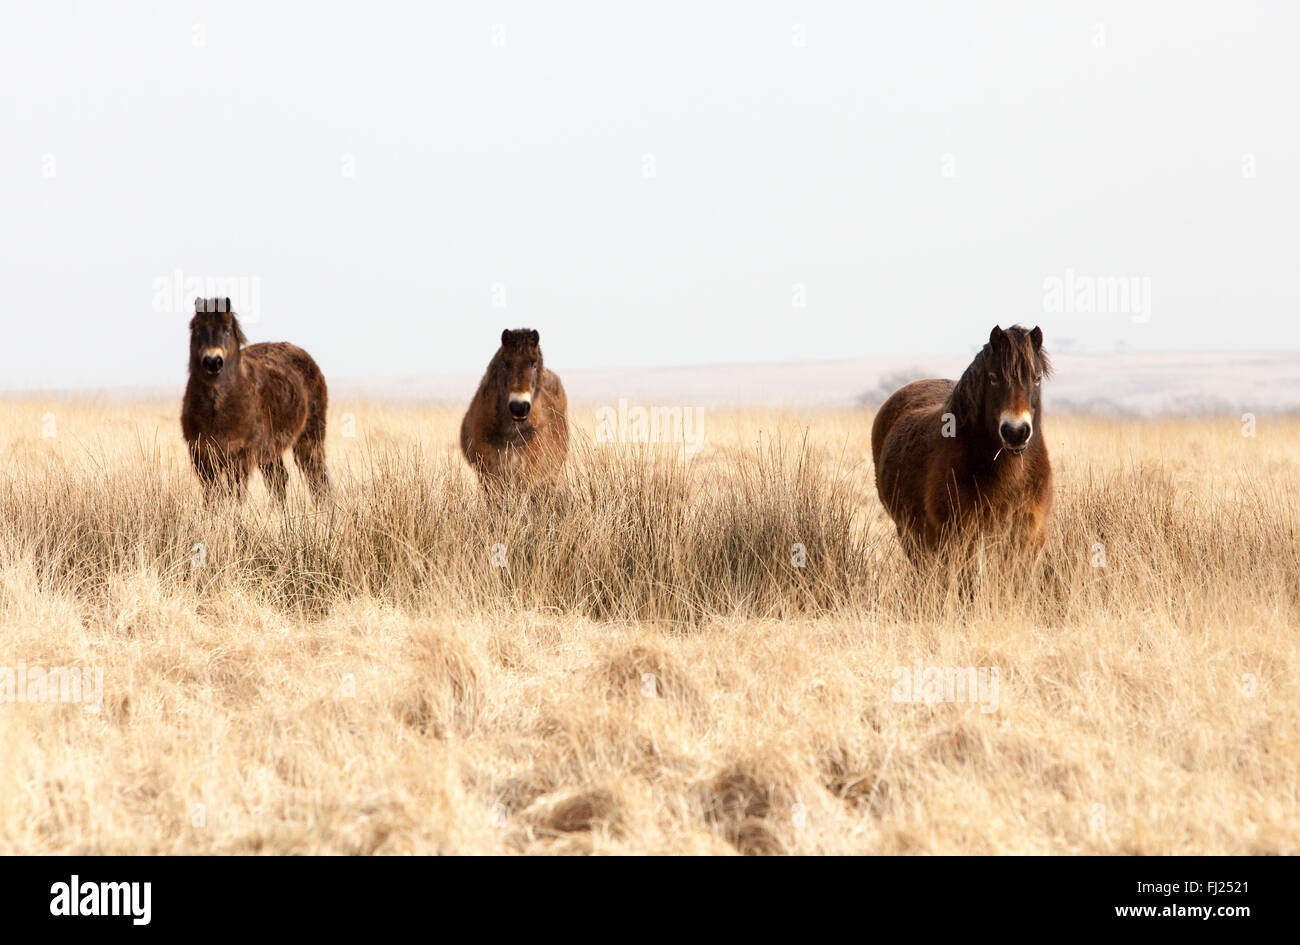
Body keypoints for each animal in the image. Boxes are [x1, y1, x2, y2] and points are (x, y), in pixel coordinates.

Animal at [181, 297, 330, 503]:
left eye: (227, 329)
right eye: (197, 328)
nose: (212, 362)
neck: (216, 412)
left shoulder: (240, 456)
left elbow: (235, 494)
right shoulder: (201, 456)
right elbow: (213, 496)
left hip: (310, 437)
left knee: (317, 477)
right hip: (271, 450)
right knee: (278, 479)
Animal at [460, 328, 569, 490]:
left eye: (534, 364)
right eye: (505, 363)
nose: (519, 407)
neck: (510, 434)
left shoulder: (527, 474)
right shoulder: (489, 475)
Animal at [871, 325, 1052, 562]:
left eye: (1036, 378)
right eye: (993, 377)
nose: (1016, 432)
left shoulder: (1028, 537)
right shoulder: (961, 537)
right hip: (911, 535)